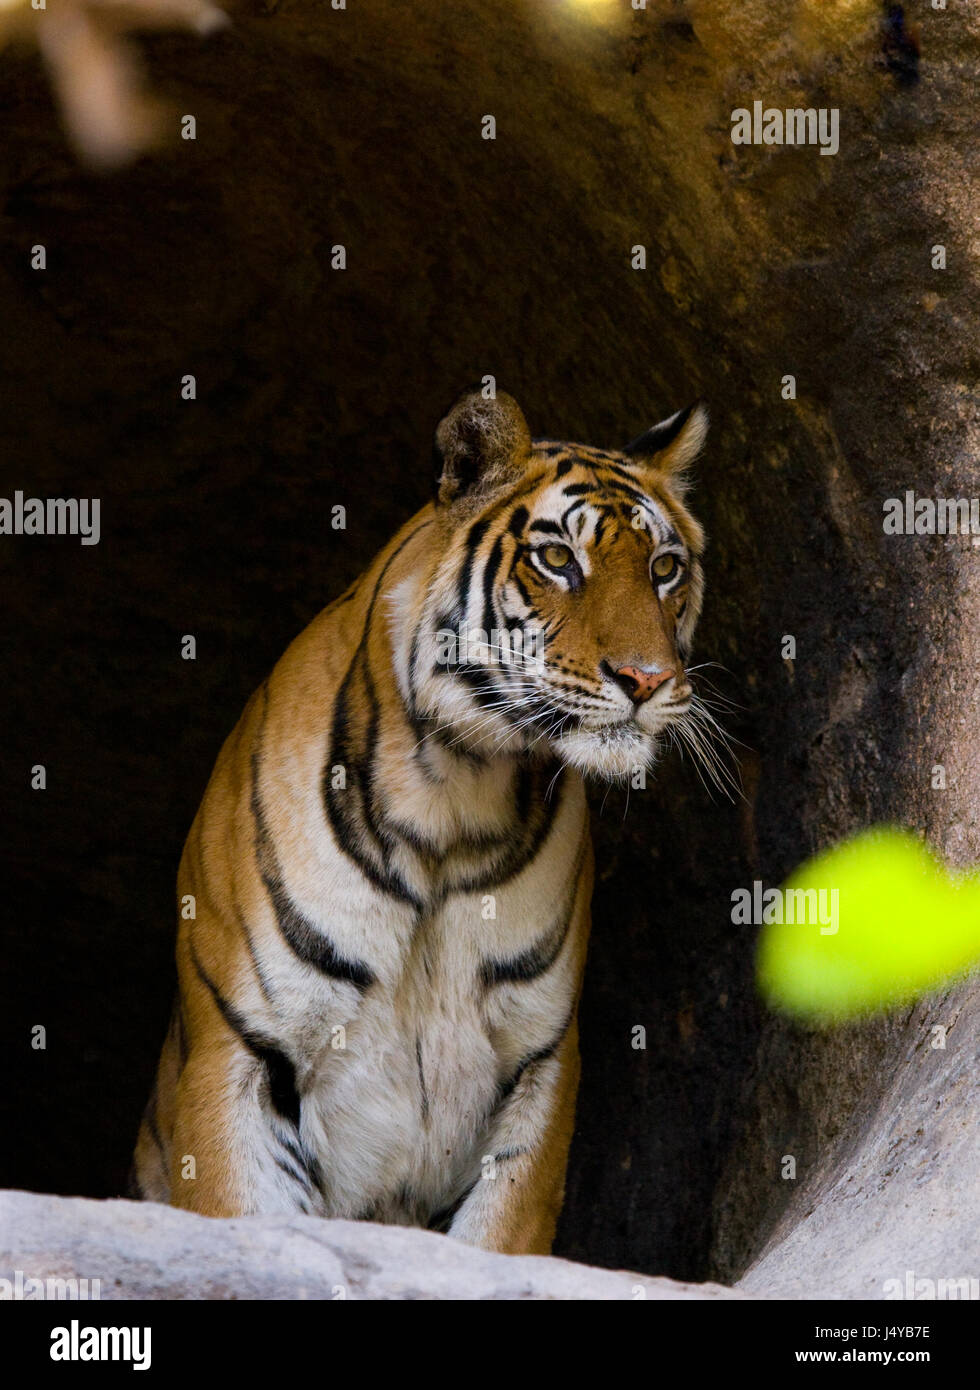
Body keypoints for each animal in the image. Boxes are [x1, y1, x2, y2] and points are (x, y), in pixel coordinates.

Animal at [131, 386, 709, 1255]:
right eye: (557, 560)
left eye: (664, 569)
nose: (648, 680)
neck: (455, 803)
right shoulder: (239, 1050)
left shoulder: (538, 1062)